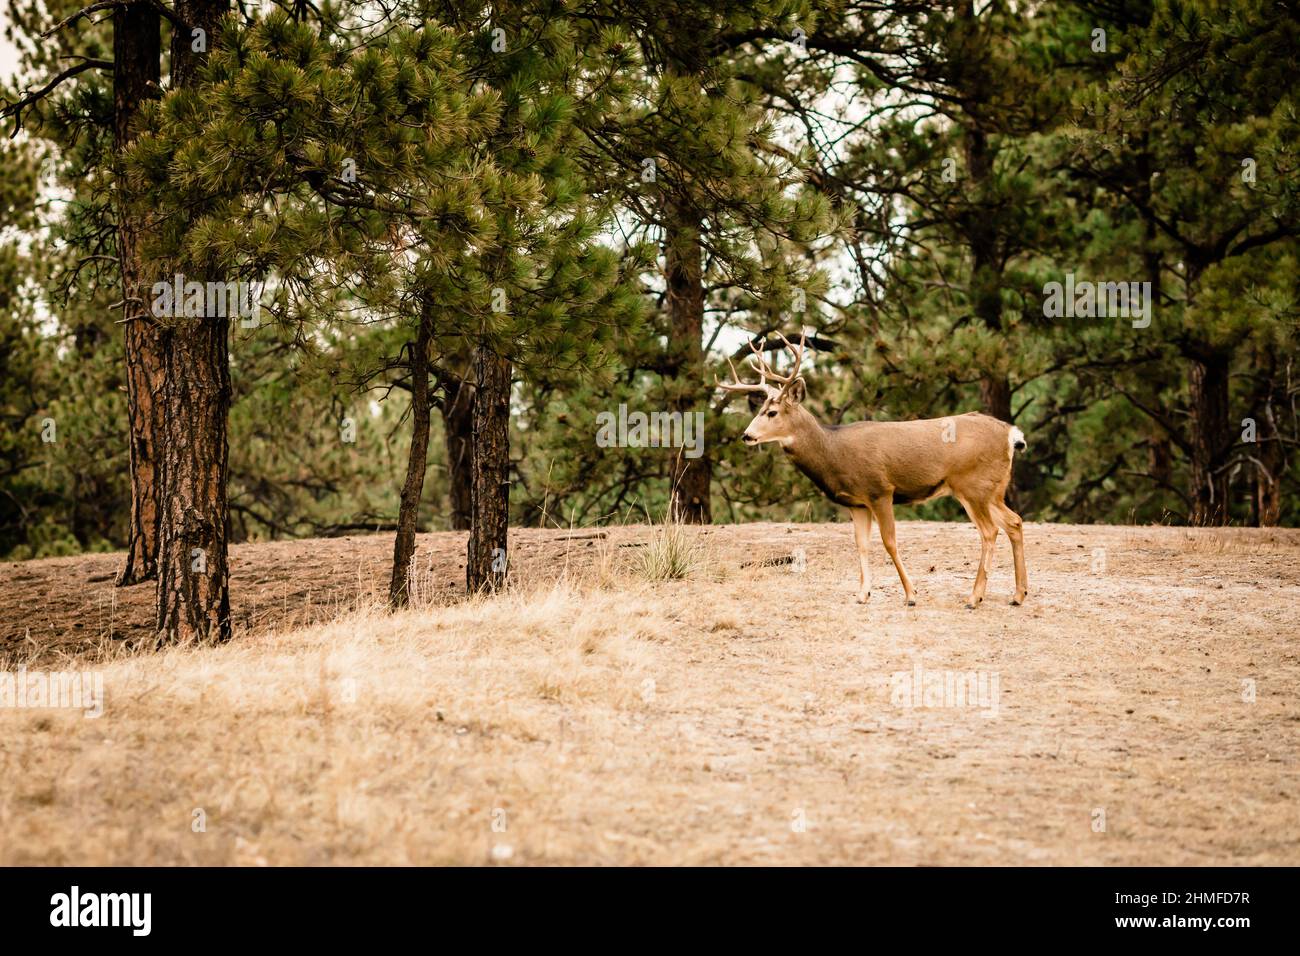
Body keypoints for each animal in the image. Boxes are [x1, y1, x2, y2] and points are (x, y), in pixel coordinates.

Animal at [716, 332, 1028, 609]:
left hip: (972, 485)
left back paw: (974, 598)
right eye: (760, 410)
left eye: (772, 413)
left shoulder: (880, 490)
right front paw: (863, 594)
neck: (834, 452)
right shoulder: (857, 503)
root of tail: (1010, 434)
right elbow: (861, 545)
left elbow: (889, 542)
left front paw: (911, 595)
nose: (746, 435)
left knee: (990, 531)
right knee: (1014, 522)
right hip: (992, 489)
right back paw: (1018, 595)